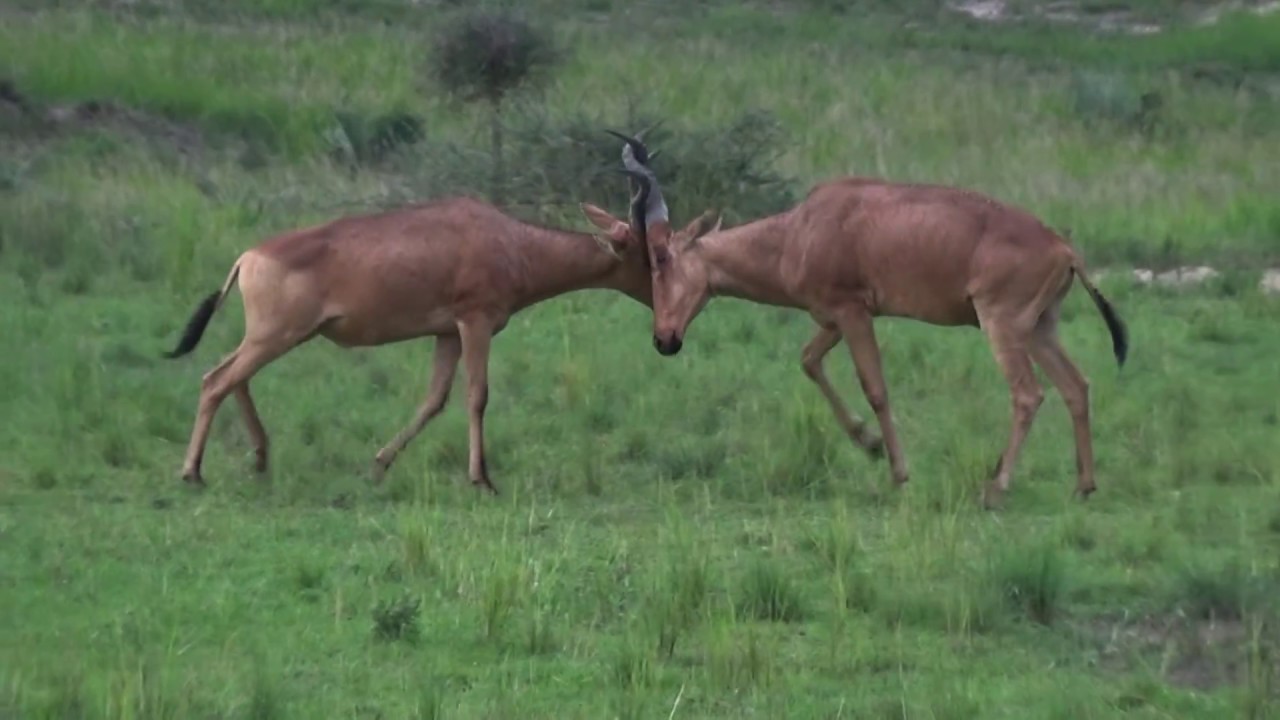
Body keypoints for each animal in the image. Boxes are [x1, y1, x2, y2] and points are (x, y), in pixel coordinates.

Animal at [163, 189, 653, 495]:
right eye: (650, 255)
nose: (666, 326)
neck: (506, 237)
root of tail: (248, 257)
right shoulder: (474, 323)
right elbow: (477, 396)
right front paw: (483, 480)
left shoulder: (446, 333)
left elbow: (434, 400)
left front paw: (380, 464)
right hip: (275, 336)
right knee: (216, 381)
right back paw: (193, 473)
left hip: (274, 336)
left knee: (228, 375)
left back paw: (261, 459)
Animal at [612, 135, 1128, 508]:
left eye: (661, 258)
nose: (665, 340)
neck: (800, 228)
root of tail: (1065, 249)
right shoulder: (833, 318)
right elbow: (809, 361)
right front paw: (870, 443)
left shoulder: (853, 312)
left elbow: (875, 387)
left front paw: (899, 472)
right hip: (1041, 326)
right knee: (1076, 386)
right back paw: (1083, 486)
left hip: (1001, 324)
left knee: (1028, 393)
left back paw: (996, 488)